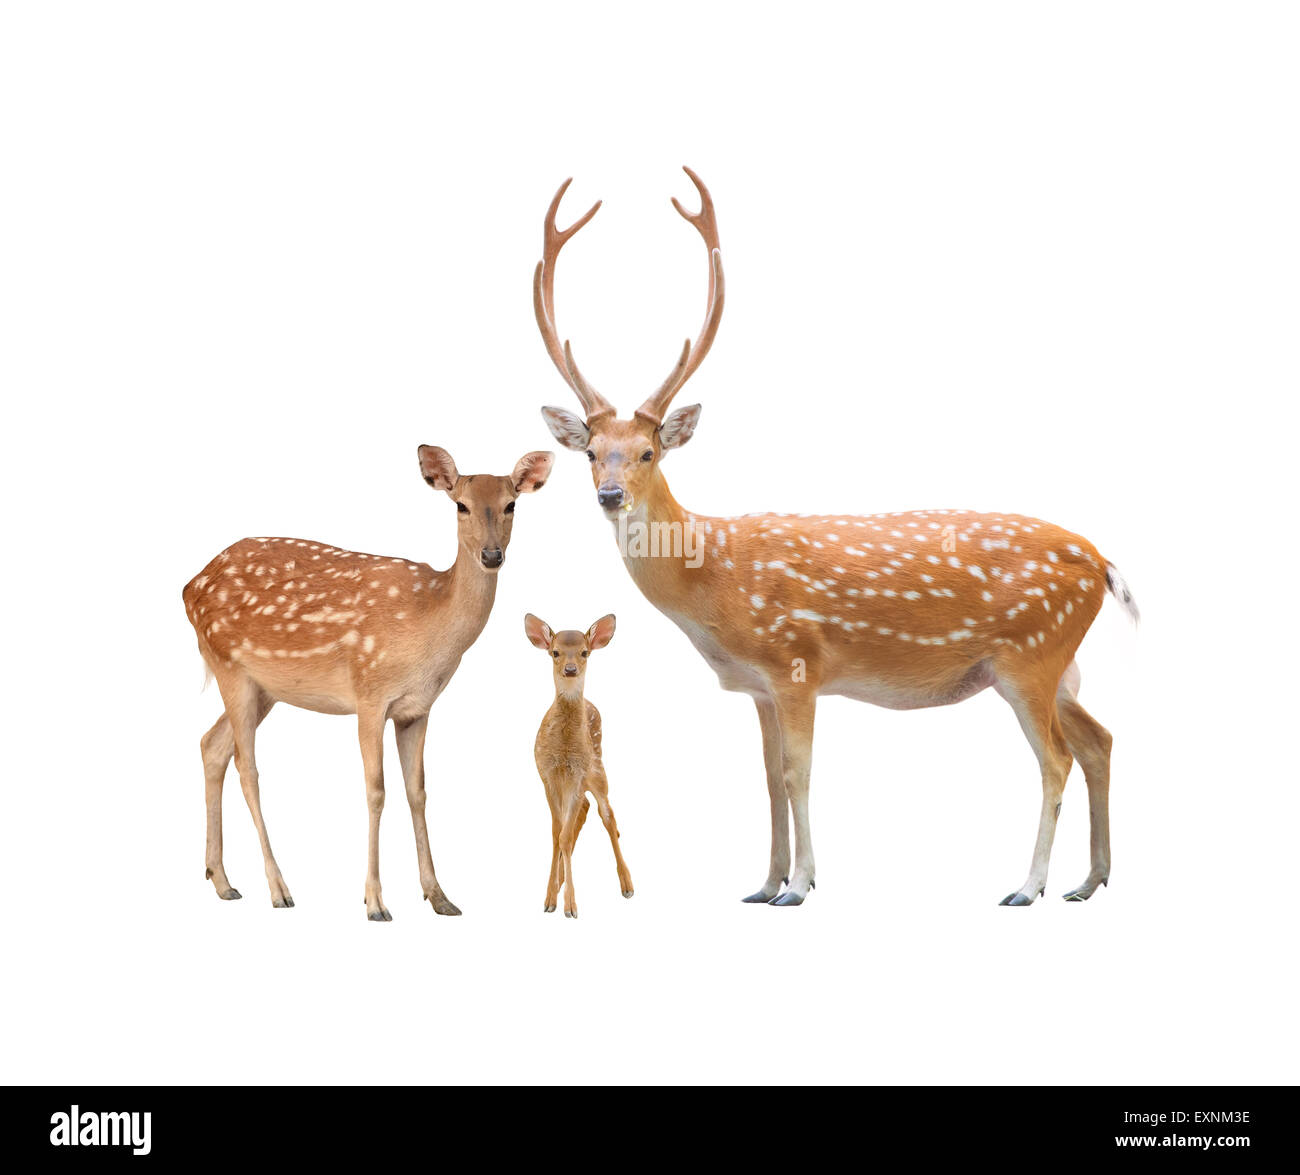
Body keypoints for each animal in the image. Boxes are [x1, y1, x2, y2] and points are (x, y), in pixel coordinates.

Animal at [182, 445, 554, 921]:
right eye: (460, 505)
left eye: (511, 505)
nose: (491, 556)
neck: (429, 624)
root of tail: (189, 587)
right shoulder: (369, 693)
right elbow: (376, 791)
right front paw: (375, 902)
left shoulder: (417, 709)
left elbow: (418, 792)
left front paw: (439, 896)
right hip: (229, 664)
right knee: (247, 767)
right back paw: (278, 889)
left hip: (265, 689)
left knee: (212, 745)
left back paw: (222, 880)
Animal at [524, 612, 633, 918]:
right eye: (555, 652)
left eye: (585, 652)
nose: (570, 669)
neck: (563, 748)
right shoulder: (547, 775)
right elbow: (556, 834)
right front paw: (550, 898)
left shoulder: (576, 774)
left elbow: (564, 835)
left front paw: (569, 906)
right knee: (580, 816)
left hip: (597, 770)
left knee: (607, 815)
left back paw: (627, 884)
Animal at [532, 168, 1139, 908]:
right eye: (592, 452)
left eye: (650, 451)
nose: (611, 494)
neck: (716, 583)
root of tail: (1103, 563)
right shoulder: (757, 686)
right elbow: (768, 780)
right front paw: (764, 882)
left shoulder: (797, 660)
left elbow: (798, 773)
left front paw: (801, 885)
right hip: (1057, 663)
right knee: (1100, 740)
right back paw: (1092, 878)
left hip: (1032, 653)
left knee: (1057, 758)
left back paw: (1028, 886)